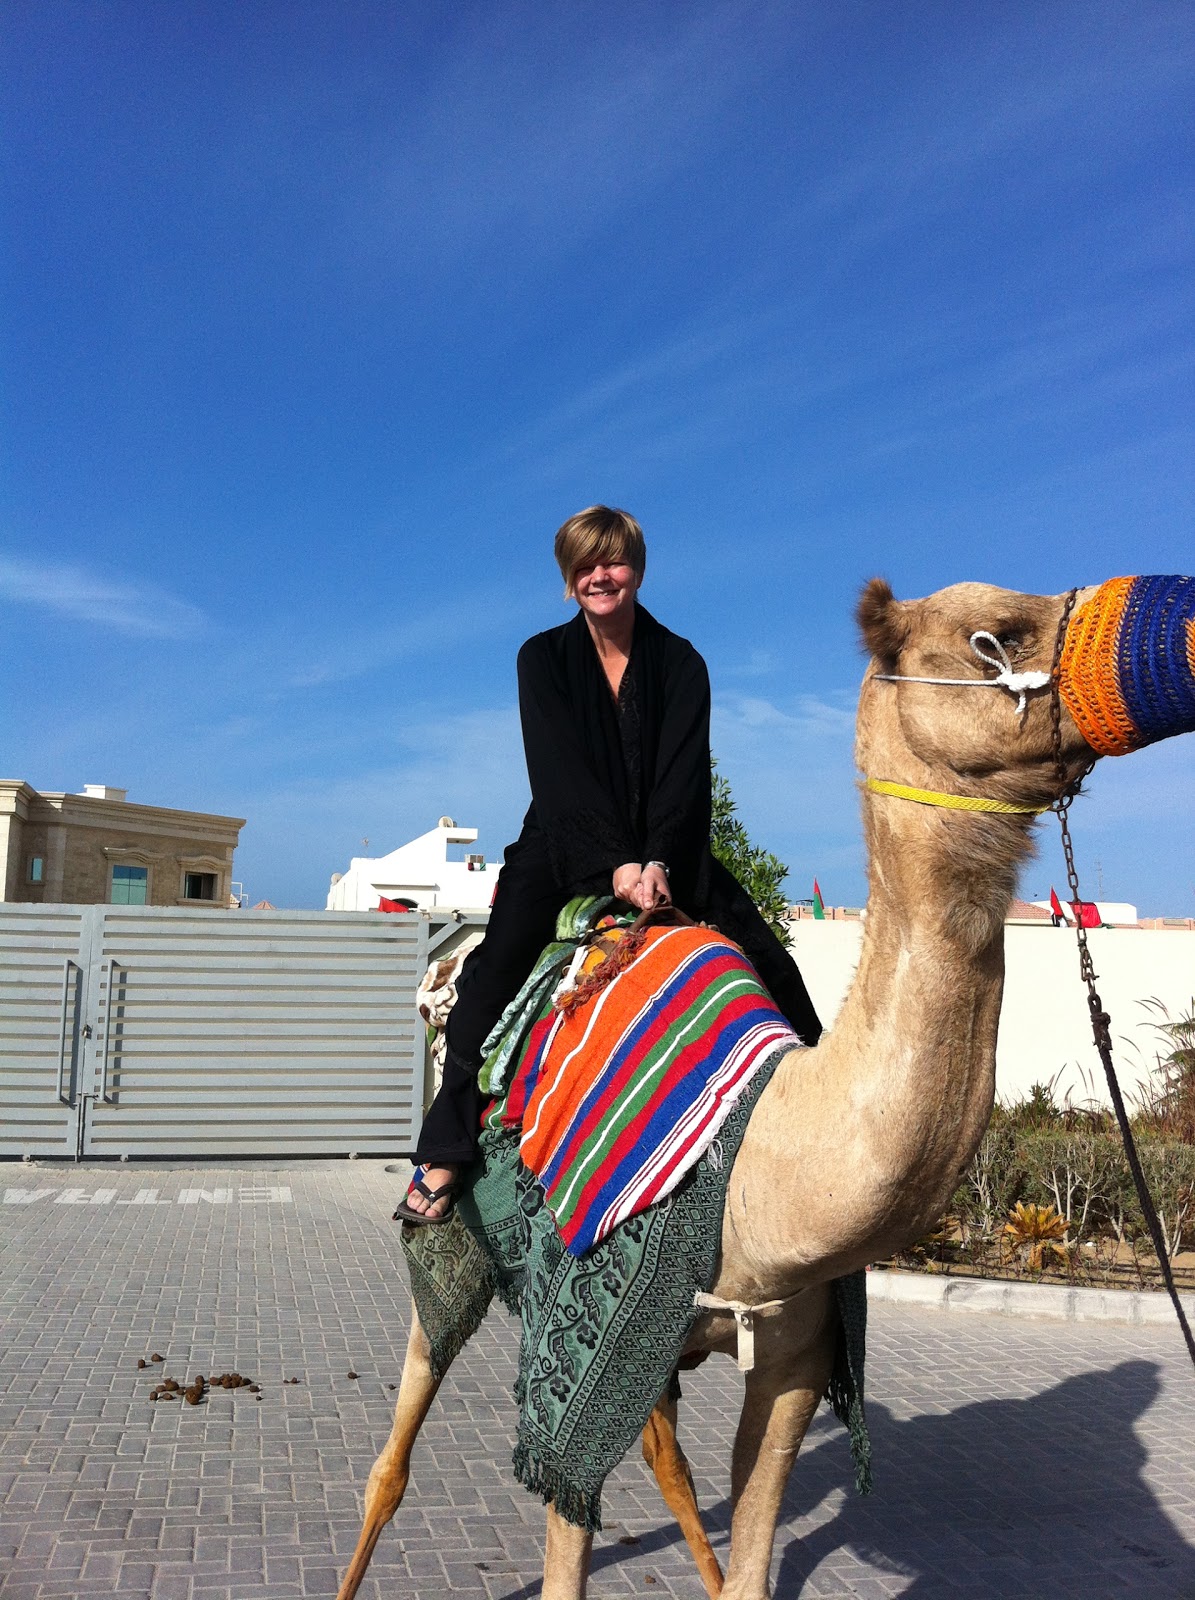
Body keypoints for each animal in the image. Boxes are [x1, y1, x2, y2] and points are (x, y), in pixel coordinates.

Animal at [337, 575, 1189, 1600]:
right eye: (998, 635)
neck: (753, 1164)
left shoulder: (792, 1360)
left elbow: (749, 1548)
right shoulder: (568, 1355)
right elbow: (562, 1527)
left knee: (661, 1447)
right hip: (456, 1240)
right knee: (396, 1446)